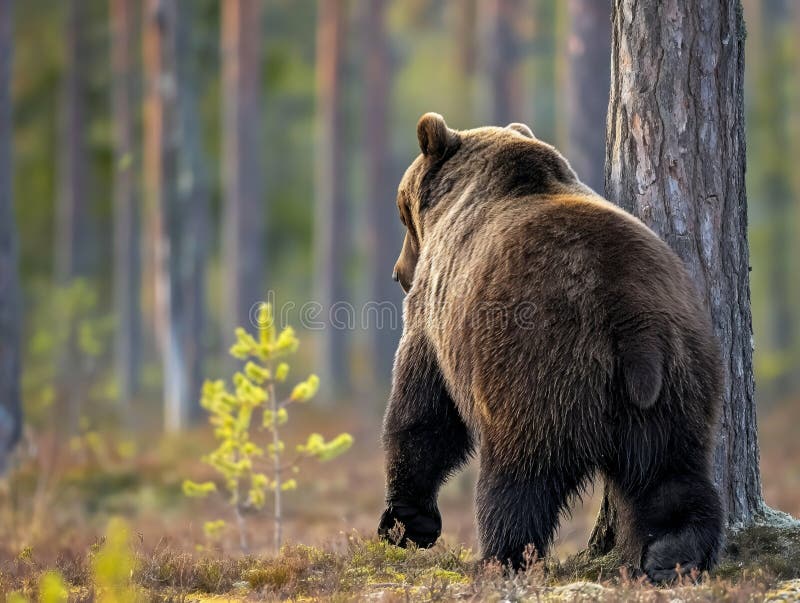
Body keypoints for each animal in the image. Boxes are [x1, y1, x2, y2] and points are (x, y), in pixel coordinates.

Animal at [377, 113, 724, 582]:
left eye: (401, 212)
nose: (399, 273)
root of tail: (634, 324)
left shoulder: (437, 314)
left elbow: (423, 411)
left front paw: (406, 522)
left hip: (541, 367)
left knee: (520, 475)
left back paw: (501, 558)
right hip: (679, 376)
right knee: (672, 473)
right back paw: (672, 557)